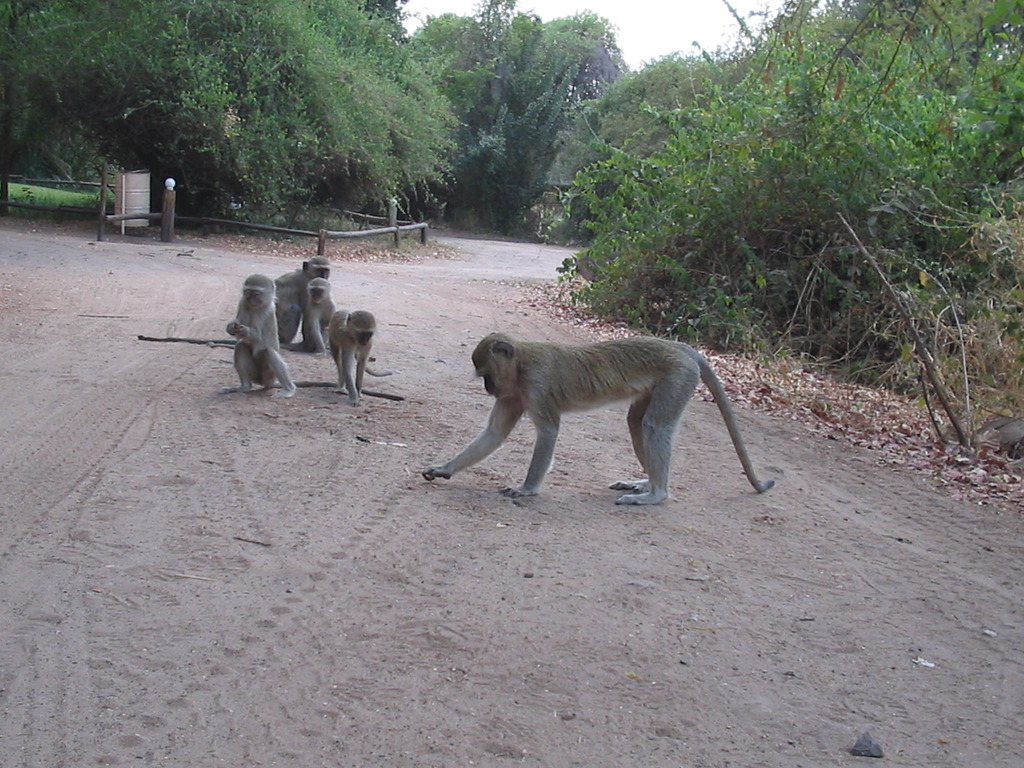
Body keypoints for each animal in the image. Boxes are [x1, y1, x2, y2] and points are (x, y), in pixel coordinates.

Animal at [421, 333, 774, 505]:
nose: (488, 388)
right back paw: (646, 483)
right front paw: (444, 469)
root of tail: (682, 349)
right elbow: (494, 434)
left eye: (486, 374)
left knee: (654, 426)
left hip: (678, 376)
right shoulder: (513, 395)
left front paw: (526, 489)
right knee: (637, 423)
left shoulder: (536, 386)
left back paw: (656, 494)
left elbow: (548, 432)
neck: (521, 364)